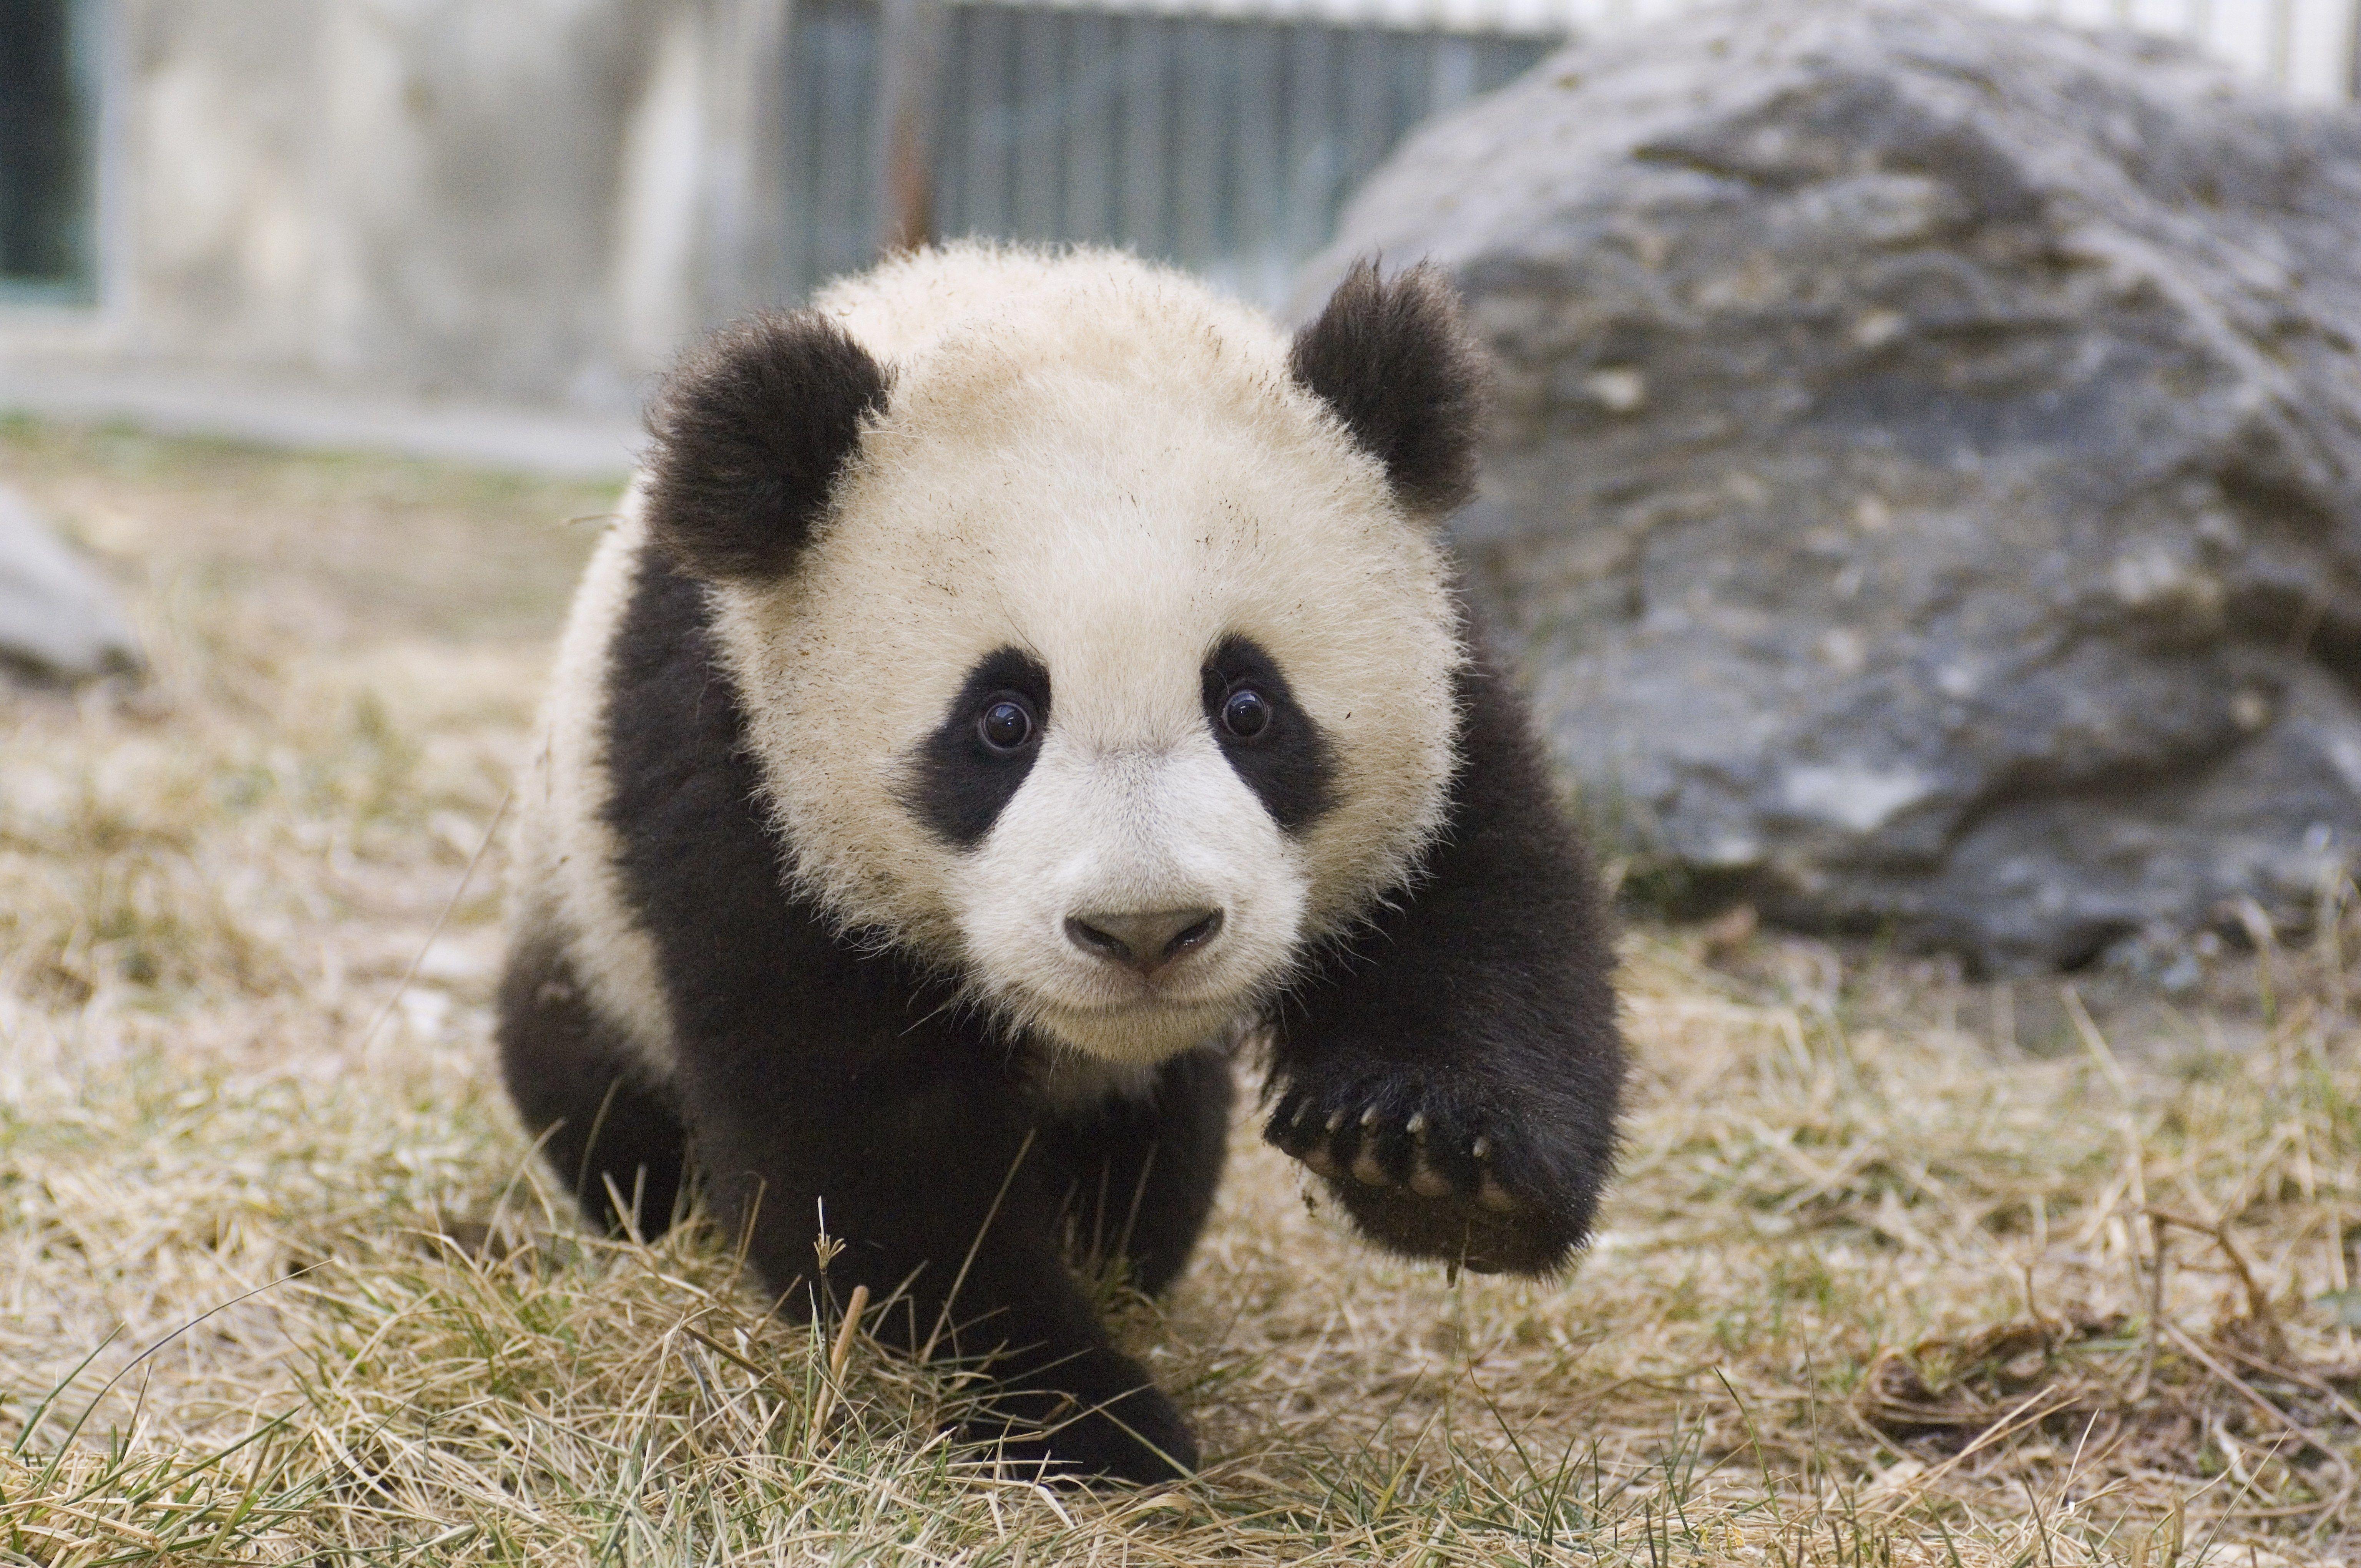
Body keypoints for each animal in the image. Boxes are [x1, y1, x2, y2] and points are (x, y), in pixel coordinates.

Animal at [496, 243, 1623, 1484]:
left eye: (1248, 706)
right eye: (1000, 721)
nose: (1145, 929)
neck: (1019, 306)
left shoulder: (1444, 671)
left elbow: (1487, 915)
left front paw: (1427, 1163)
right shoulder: (729, 747)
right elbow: (865, 1139)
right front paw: (1083, 1411)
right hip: (584, 932)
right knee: (589, 1092)